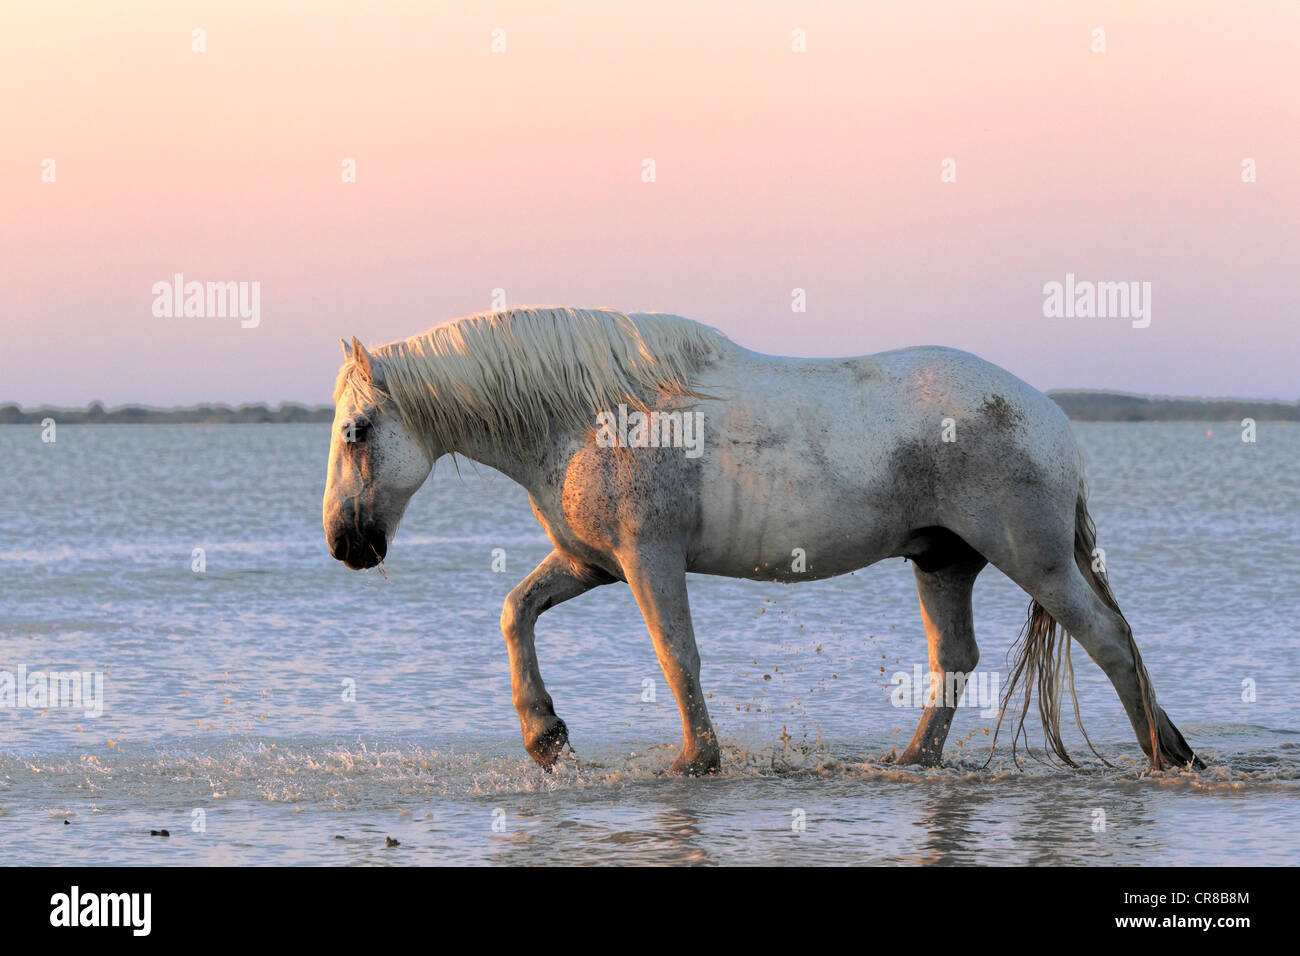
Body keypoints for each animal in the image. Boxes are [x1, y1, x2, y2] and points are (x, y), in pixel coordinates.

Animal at [322, 306, 1203, 775]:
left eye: (358, 429)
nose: (344, 544)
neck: (589, 415)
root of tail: (1052, 421)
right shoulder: (590, 563)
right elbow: (516, 612)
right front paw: (547, 739)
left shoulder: (647, 560)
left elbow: (676, 655)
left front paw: (696, 761)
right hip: (944, 561)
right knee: (957, 659)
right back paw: (912, 762)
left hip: (1034, 559)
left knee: (1109, 639)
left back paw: (1166, 757)